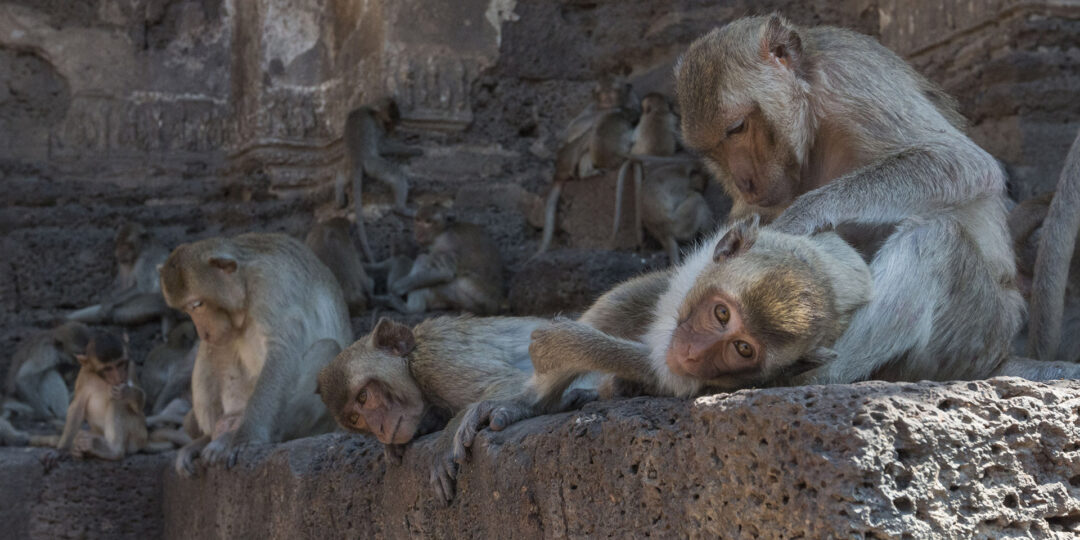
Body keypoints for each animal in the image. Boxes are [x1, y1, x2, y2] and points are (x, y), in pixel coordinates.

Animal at [159, 233, 352, 476]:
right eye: (186, 309)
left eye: (197, 305)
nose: (203, 332)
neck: (245, 281)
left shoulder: (271, 287)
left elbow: (282, 351)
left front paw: (246, 438)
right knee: (215, 347)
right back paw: (208, 438)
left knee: (327, 348)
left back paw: (233, 437)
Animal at [317, 315, 555, 504]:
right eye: (355, 418)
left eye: (363, 397)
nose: (380, 430)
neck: (411, 364)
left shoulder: (435, 361)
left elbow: (513, 382)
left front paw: (448, 440)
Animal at [338, 98, 423, 261]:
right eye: (388, 123)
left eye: (393, 123)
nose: (390, 131)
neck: (371, 110)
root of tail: (357, 157)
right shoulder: (377, 127)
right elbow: (383, 147)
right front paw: (413, 149)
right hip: (372, 164)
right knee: (396, 175)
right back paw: (401, 208)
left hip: (350, 163)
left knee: (341, 176)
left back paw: (338, 196)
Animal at [673, 15, 1024, 385]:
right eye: (712, 151)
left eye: (737, 128)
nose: (745, 183)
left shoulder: (851, 79)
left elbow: (962, 162)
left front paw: (803, 215)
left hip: (976, 334)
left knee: (933, 239)